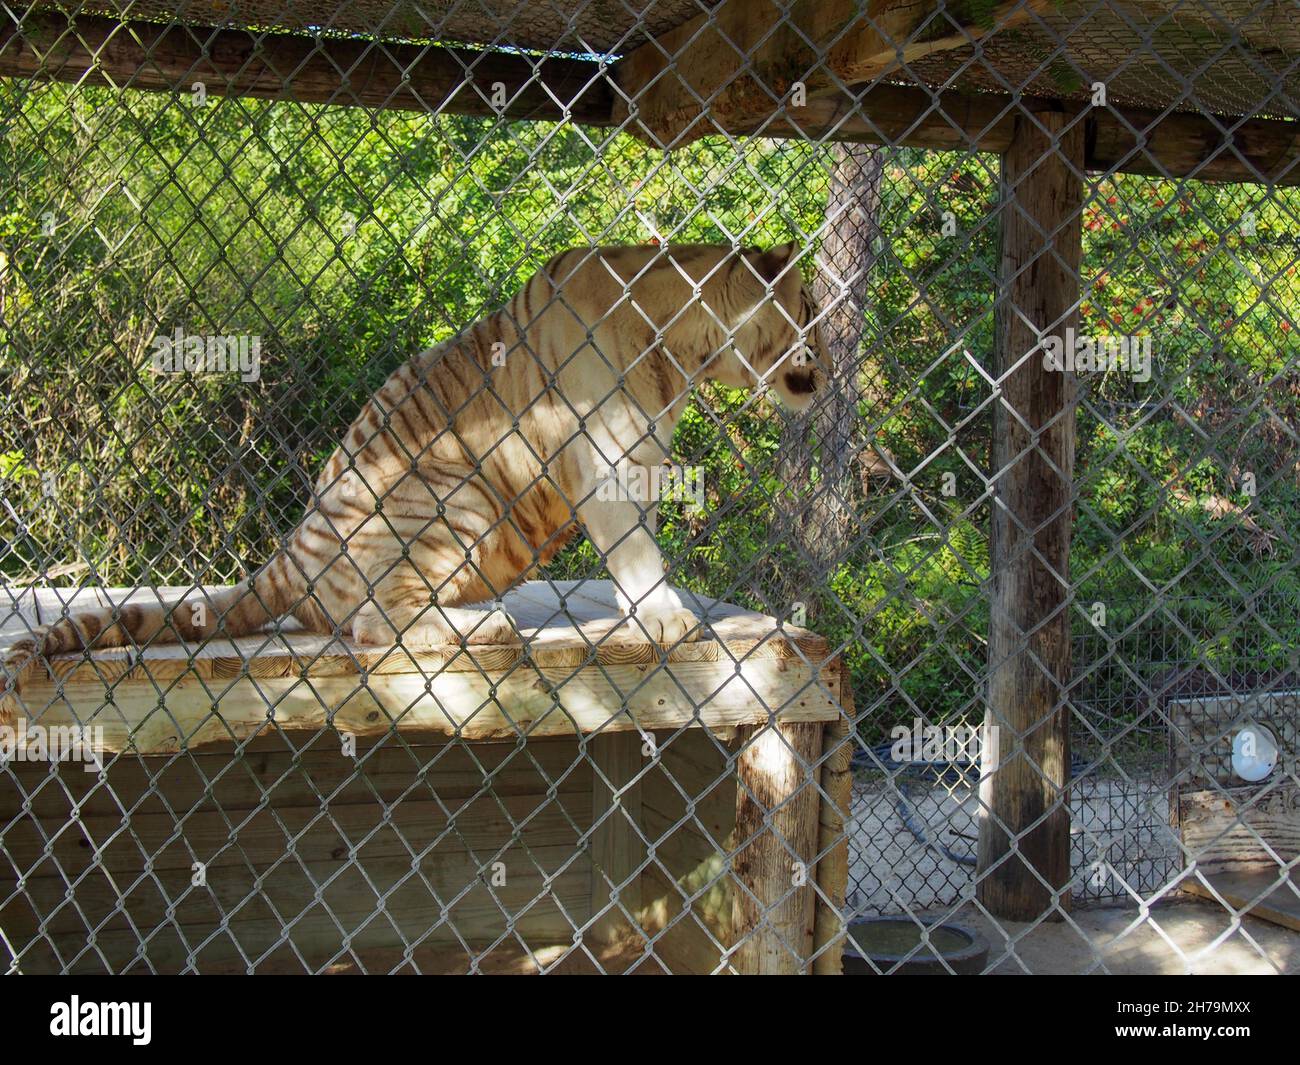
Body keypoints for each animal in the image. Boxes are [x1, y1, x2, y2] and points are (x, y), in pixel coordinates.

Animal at [2, 241, 827, 702]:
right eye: (811, 304)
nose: (828, 350)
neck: (685, 351)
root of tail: (284, 555)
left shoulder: (643, 459)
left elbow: (641, 544)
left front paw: (642, 612)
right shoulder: (602, 459)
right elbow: (636, 548)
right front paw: (667, 617)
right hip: (449, 492)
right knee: (376, 622)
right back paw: (489, 625)